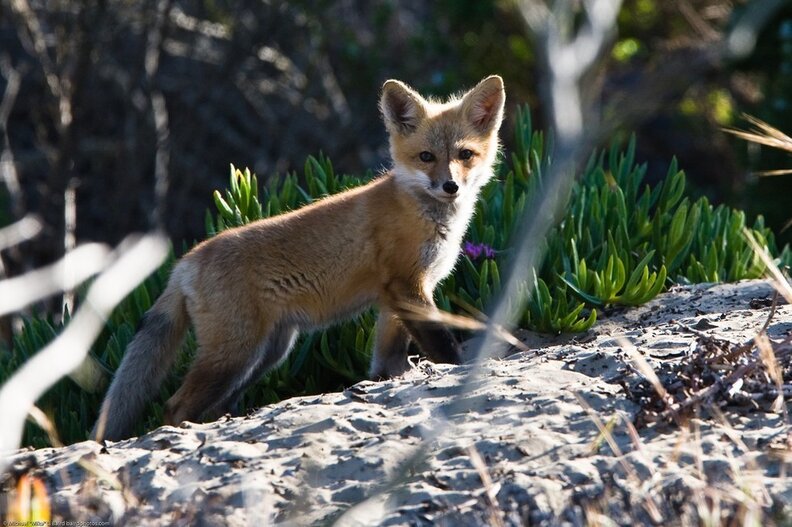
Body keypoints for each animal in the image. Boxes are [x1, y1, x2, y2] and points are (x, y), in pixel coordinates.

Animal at [93, 75, 505, 441]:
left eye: (465, 155)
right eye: (426, 157)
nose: (450, 186)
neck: (423, 214)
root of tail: (185, 262)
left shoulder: (397, 298)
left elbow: (387, 362)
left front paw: (390, 381)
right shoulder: (406, 285)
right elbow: (442, 345)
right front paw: (458, 368)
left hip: (267, 352)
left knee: (214, 404)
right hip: (234, 354)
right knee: (175, 407)